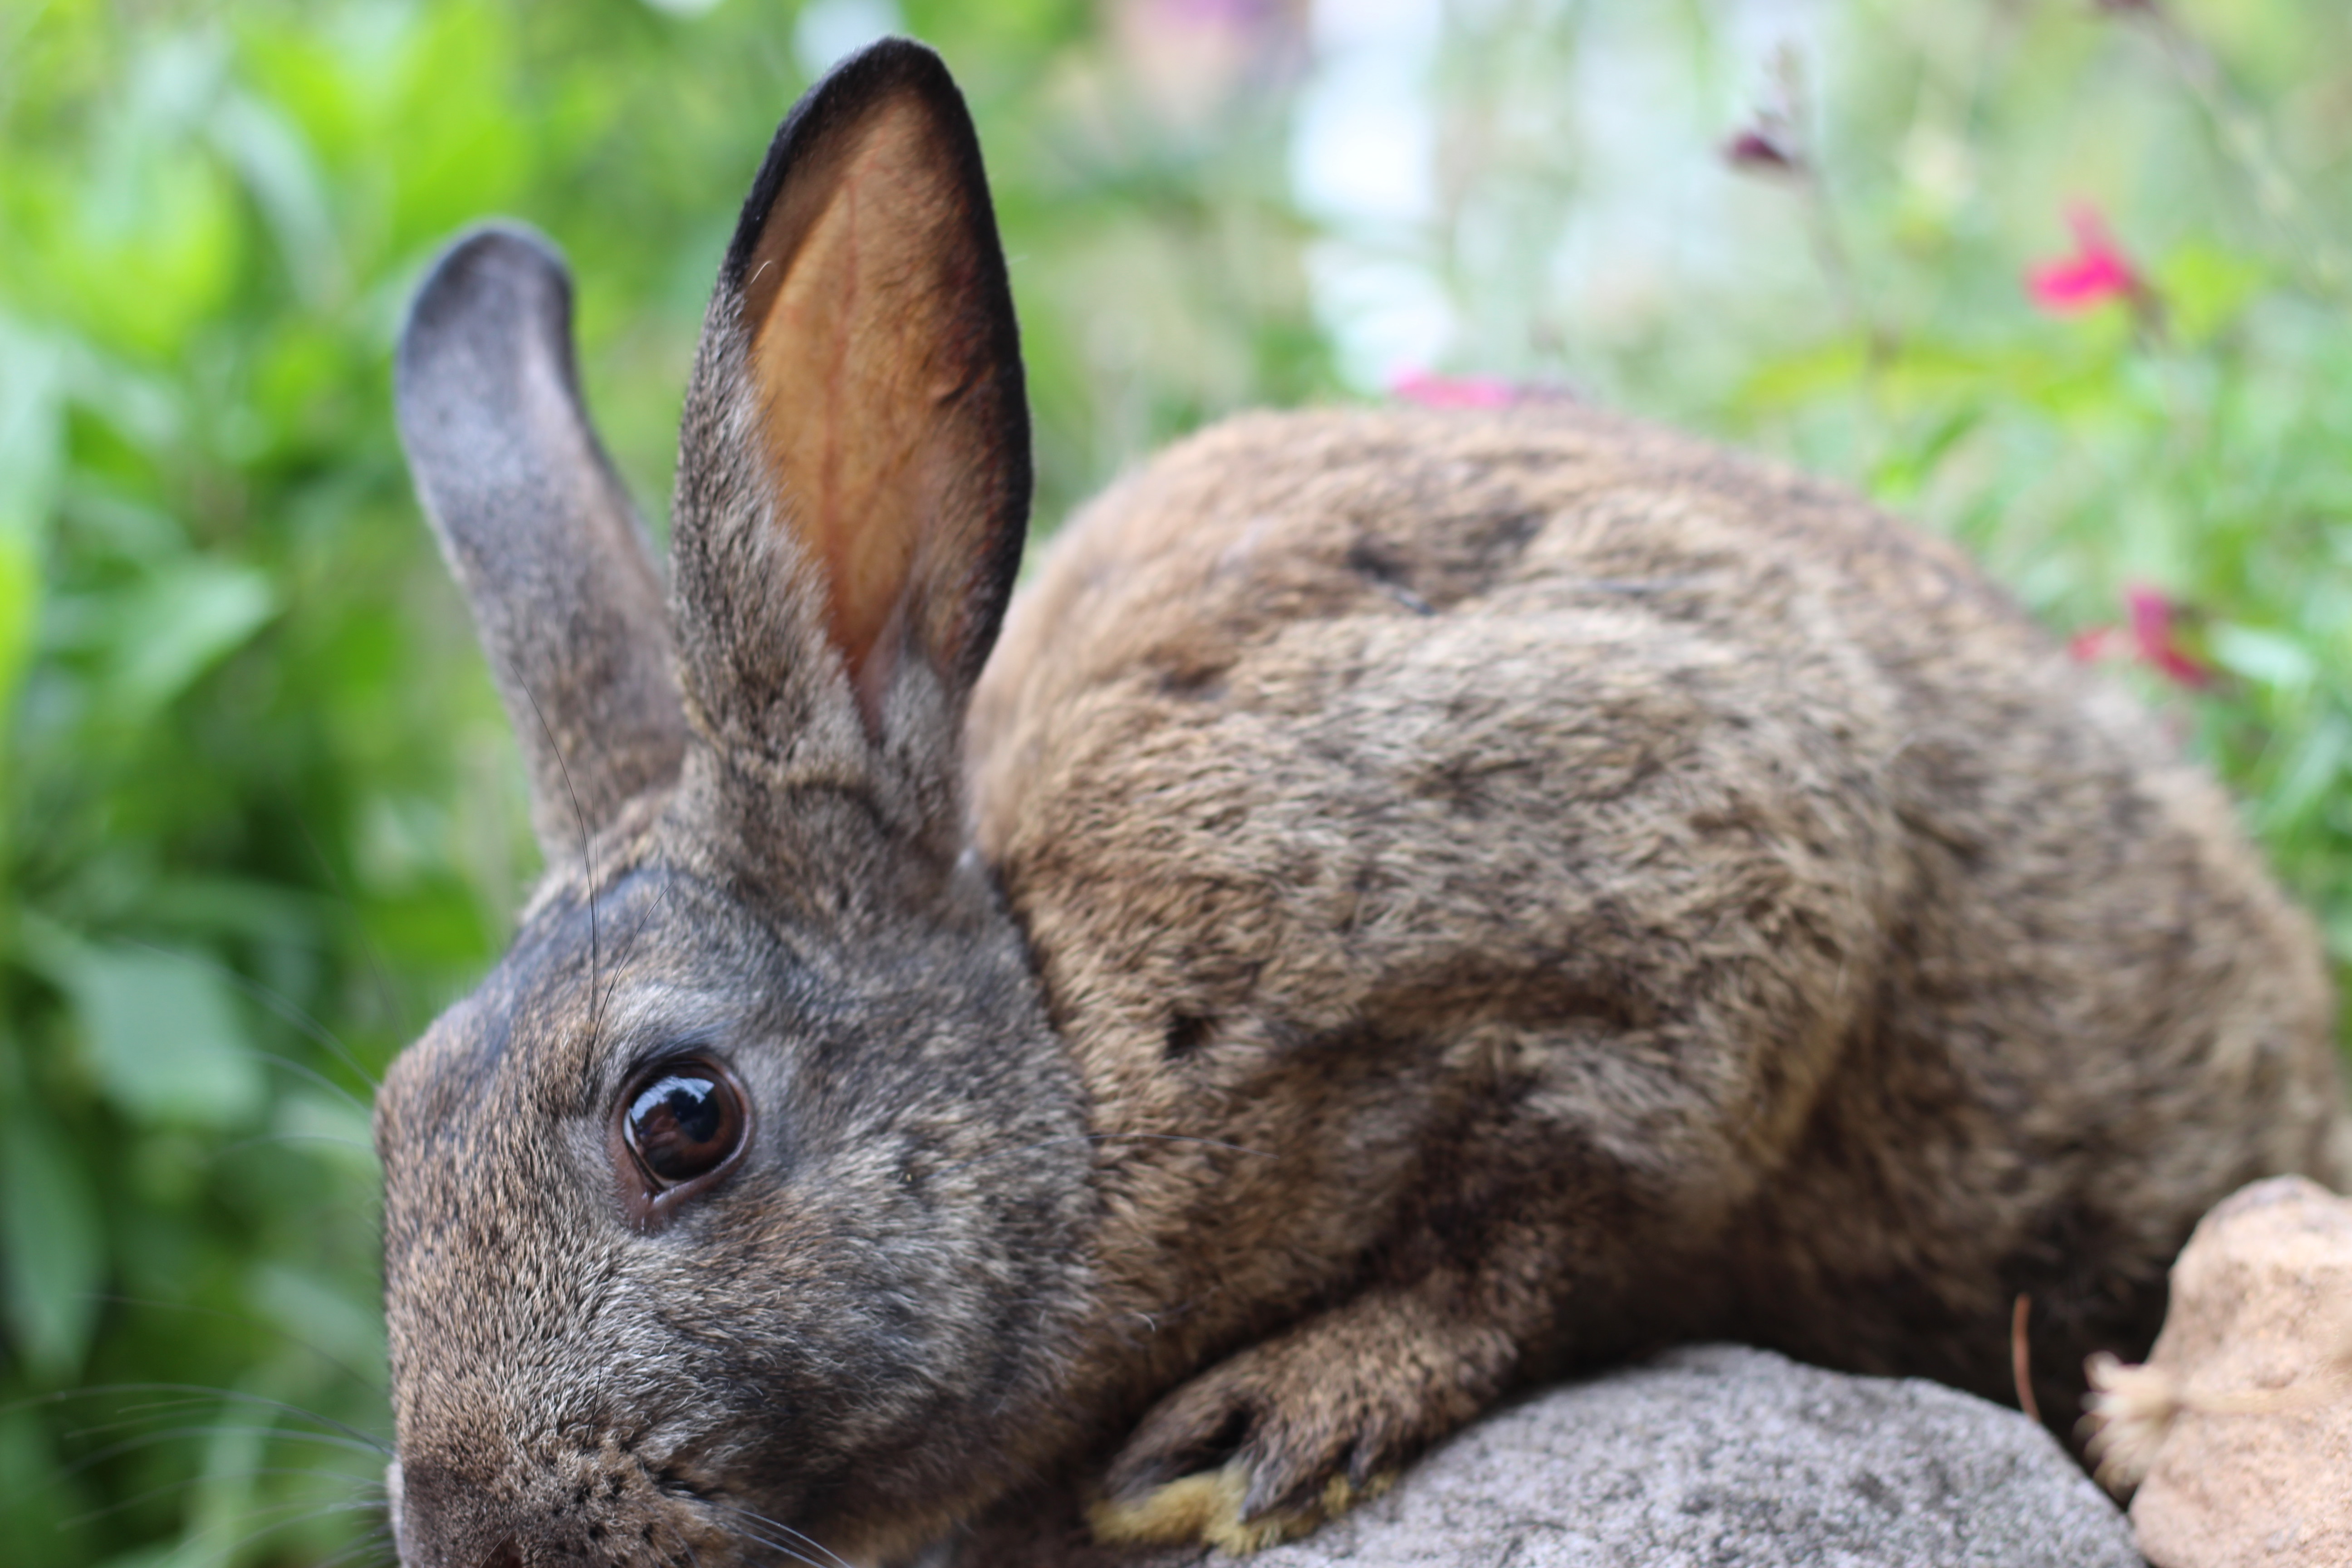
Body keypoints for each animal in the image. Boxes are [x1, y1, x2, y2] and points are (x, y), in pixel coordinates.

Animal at [375, 34, 2349, 1568]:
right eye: (391, 1127)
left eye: (682, 1118)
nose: (463, 1529)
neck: (1061, 1036)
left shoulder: (1686, 887)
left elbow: (1542, 1229)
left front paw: (1250, 1437)